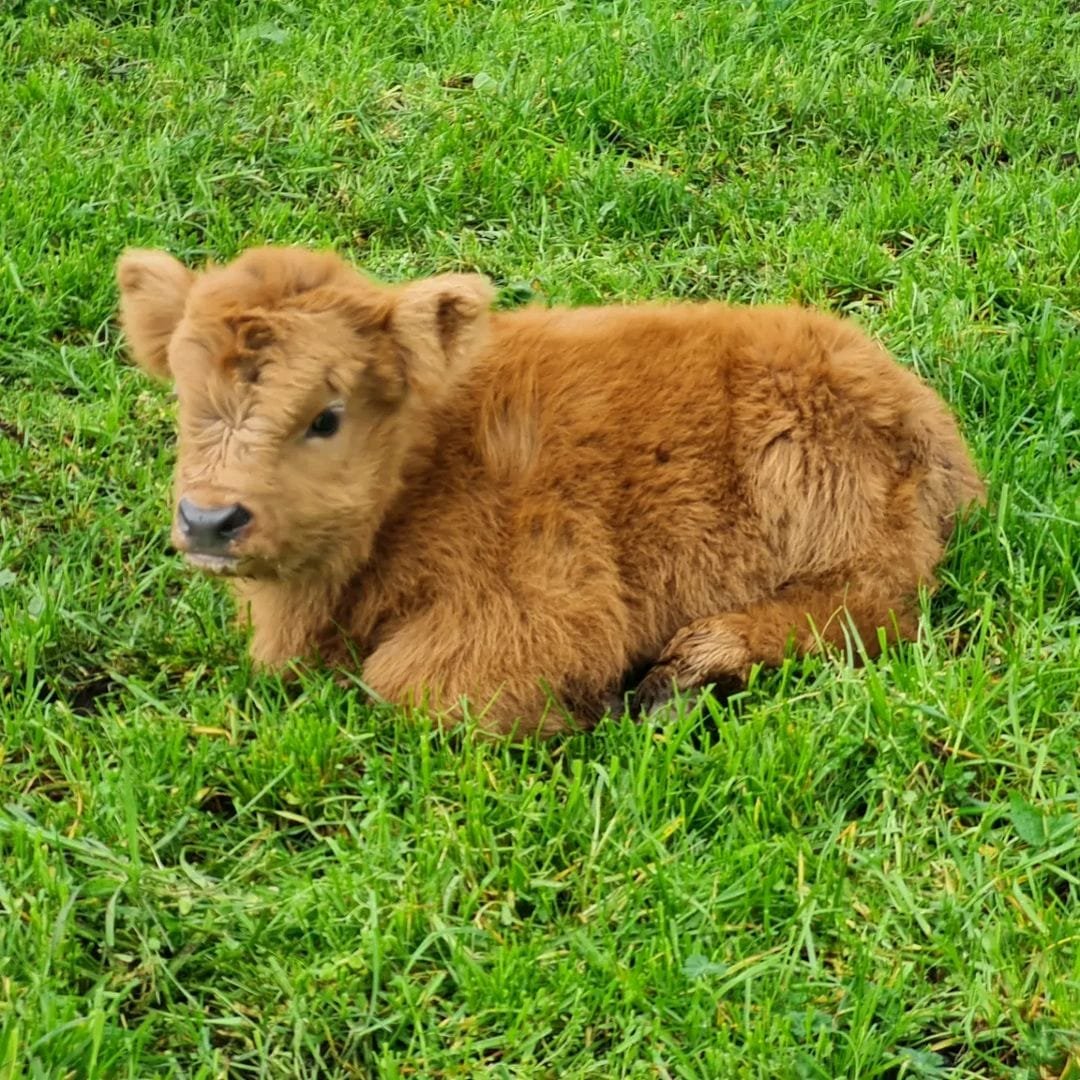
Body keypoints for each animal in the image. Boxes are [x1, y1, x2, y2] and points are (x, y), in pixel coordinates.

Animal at [115, 246, 984, 736]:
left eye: (326, 415)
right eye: (185, 398)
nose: (209, 520)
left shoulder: (546, 602)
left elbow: (409, 686)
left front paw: (576, 716)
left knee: (870, 611)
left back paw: (683, 677)